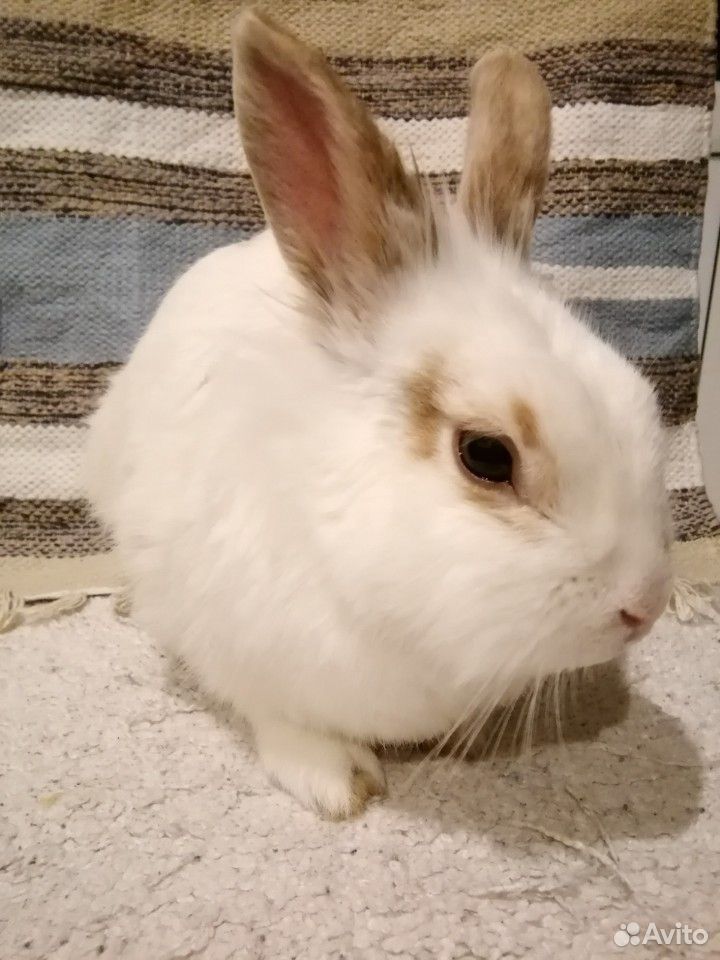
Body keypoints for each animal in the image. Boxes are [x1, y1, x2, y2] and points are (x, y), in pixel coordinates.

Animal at [84, 9, 673, 819]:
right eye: (487, 455)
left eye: (641, 399)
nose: (645, 605)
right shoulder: (239, 644)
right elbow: (279, 718)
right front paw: (339, 785)